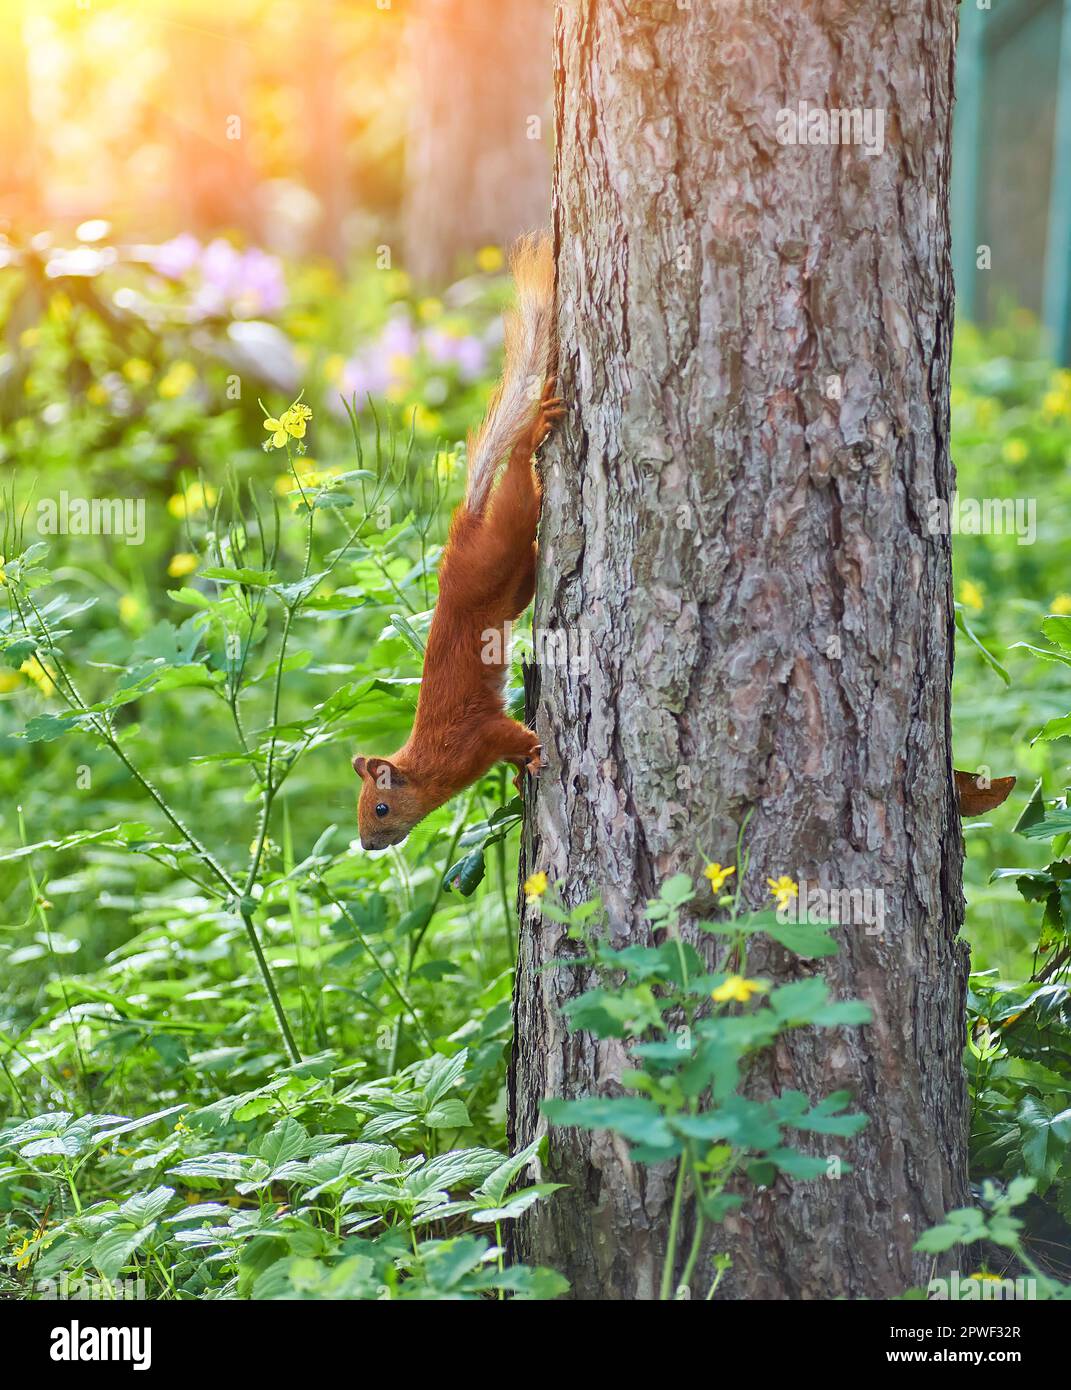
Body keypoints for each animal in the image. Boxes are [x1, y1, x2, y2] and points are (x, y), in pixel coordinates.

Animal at [353, 234, 560, 851]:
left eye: (379, 808)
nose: (368, 845)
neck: (427, 764)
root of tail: (464, 534)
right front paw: (520, 776)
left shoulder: (476, 736)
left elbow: (512, 735)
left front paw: (533, 756)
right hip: (512, 586)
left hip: (502, 545)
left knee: (518, 486)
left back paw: (532, 435)